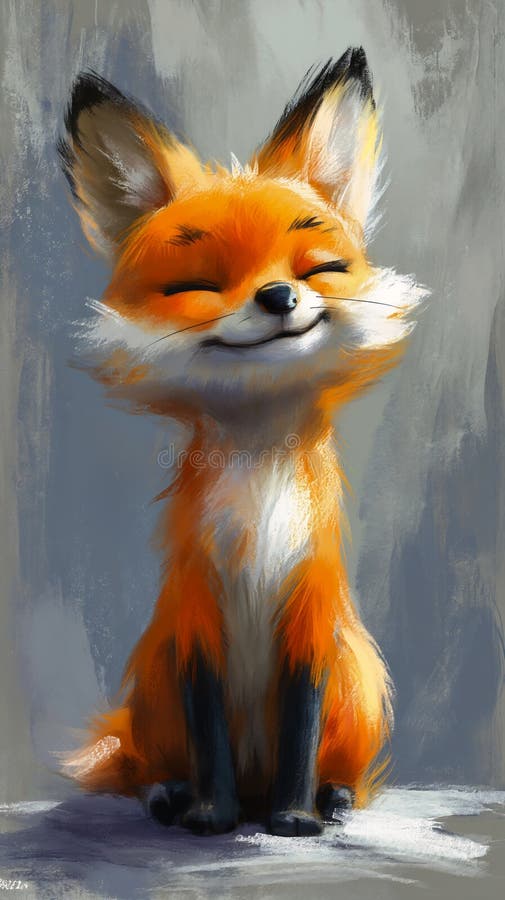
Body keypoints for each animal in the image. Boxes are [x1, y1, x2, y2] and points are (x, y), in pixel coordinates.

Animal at [58, 47, 426, 836]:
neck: (260, 510)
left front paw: (293, 819)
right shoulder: (196, 620)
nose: (278, 297)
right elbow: (208, 734)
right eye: (197, 284)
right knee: (148, 766)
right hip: (154, 682)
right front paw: (212, 817)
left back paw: (331, 798)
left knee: (338, 766)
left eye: (318, 267)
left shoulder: (310, 617)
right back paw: (172, 796)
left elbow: (300, 725)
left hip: (360, 680)